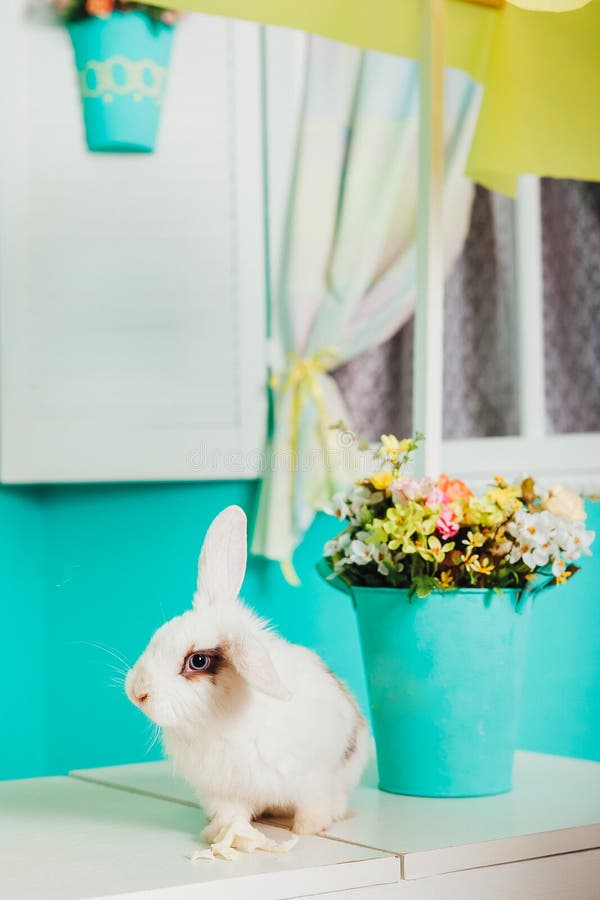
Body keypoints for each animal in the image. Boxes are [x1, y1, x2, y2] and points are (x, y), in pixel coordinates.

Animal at [125, 505, 369, 848]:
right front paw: (224, 833)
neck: (218, 723)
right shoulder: (222, 791)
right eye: (158, 636)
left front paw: (307, 830)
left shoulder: (314, 781)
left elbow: (313, 807)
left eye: (197, 661)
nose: (138, 692)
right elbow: (231, 814)